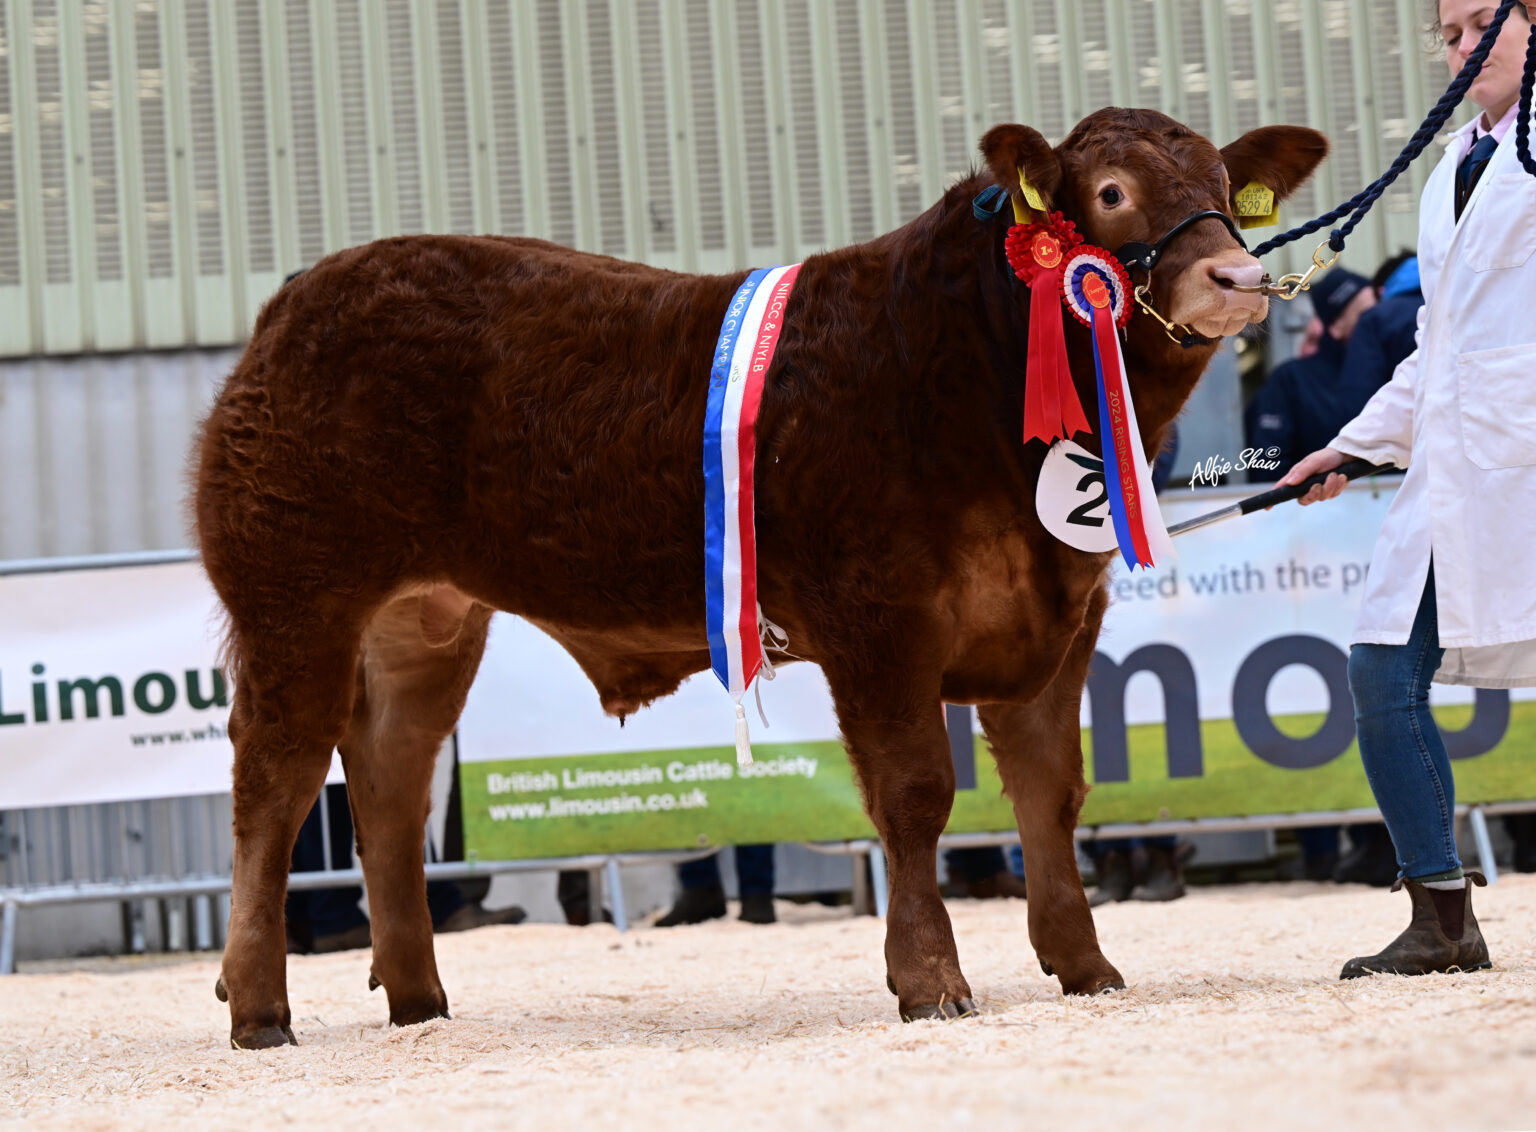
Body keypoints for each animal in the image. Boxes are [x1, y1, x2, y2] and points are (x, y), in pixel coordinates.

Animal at [195, 107, 1327, 1049]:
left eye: (1222, 185)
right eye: (1112, 193)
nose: (1236, 278)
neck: (972, 365)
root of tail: (300, 298)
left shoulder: (1060, 615)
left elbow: (1053, 793)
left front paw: (1086, 966)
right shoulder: (879, 616)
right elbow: (918, 794)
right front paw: (931, 981)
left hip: (426, 621)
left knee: (389, 778)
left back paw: (417, 996)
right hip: (296, 597)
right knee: (275, 783)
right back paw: (258, 1007)